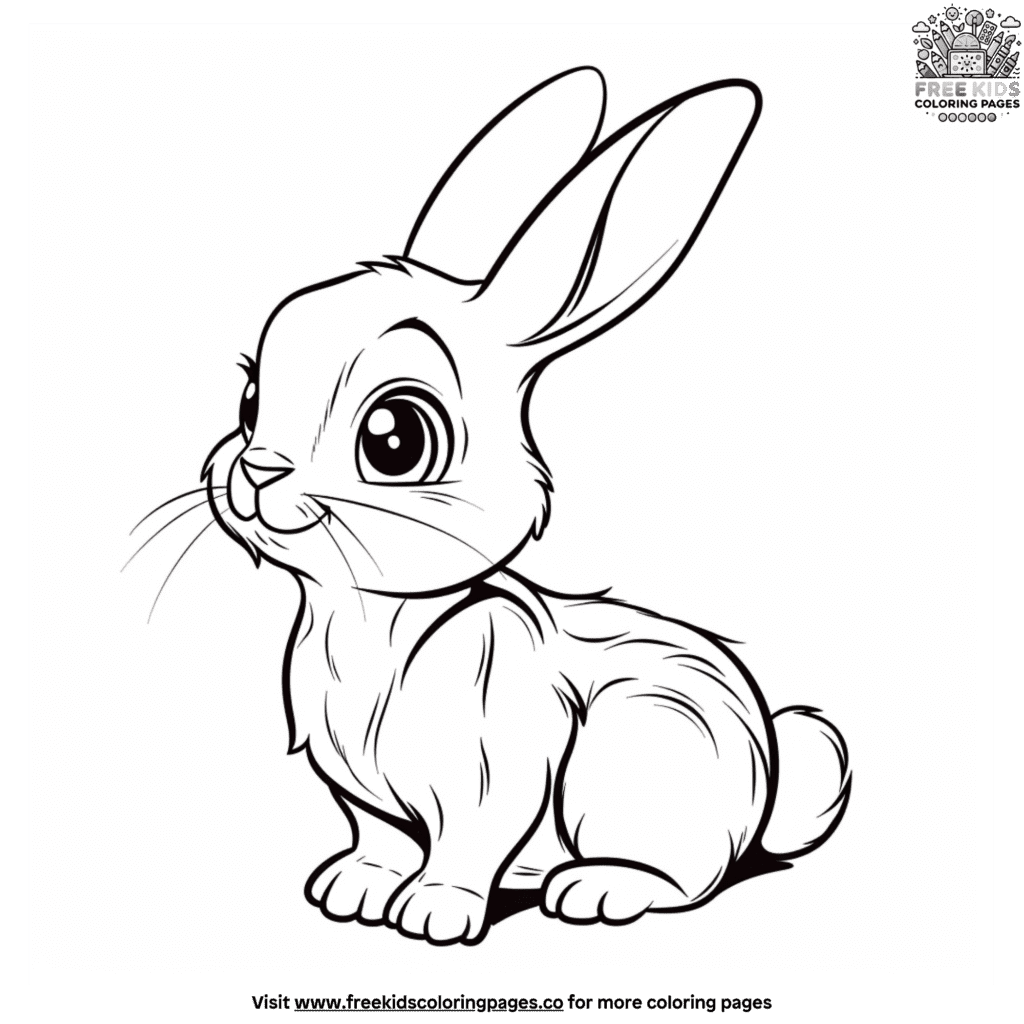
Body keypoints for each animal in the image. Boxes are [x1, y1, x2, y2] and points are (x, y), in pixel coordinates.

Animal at [197, 67, 851, 945]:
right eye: (249, 400)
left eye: (394, 438)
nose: (257, 471)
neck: (369, 616)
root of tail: (765, 795)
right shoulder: (362, 795)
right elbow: (376, 839)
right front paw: (353, 891)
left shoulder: (494, 772)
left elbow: (469, 844)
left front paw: (434, 914)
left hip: (641, 755)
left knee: (683, 879)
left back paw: (597, 888)